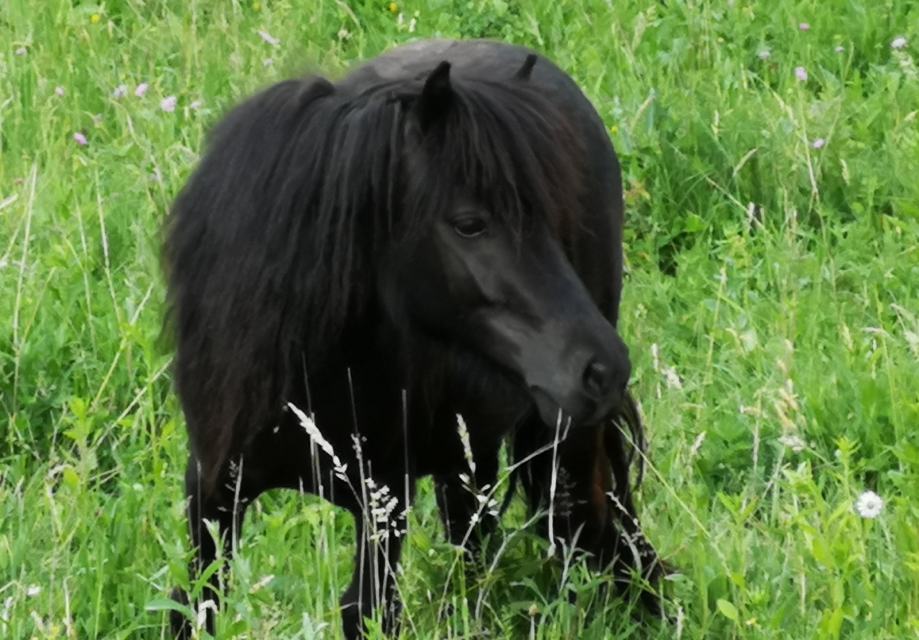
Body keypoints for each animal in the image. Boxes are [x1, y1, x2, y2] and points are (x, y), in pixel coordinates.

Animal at [165, 38, 663, 638]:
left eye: (550, 219)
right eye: (469, 224)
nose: (604, 369)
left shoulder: (384, 502)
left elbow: (367, 609)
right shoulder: (212, 491)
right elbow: (192, 602)